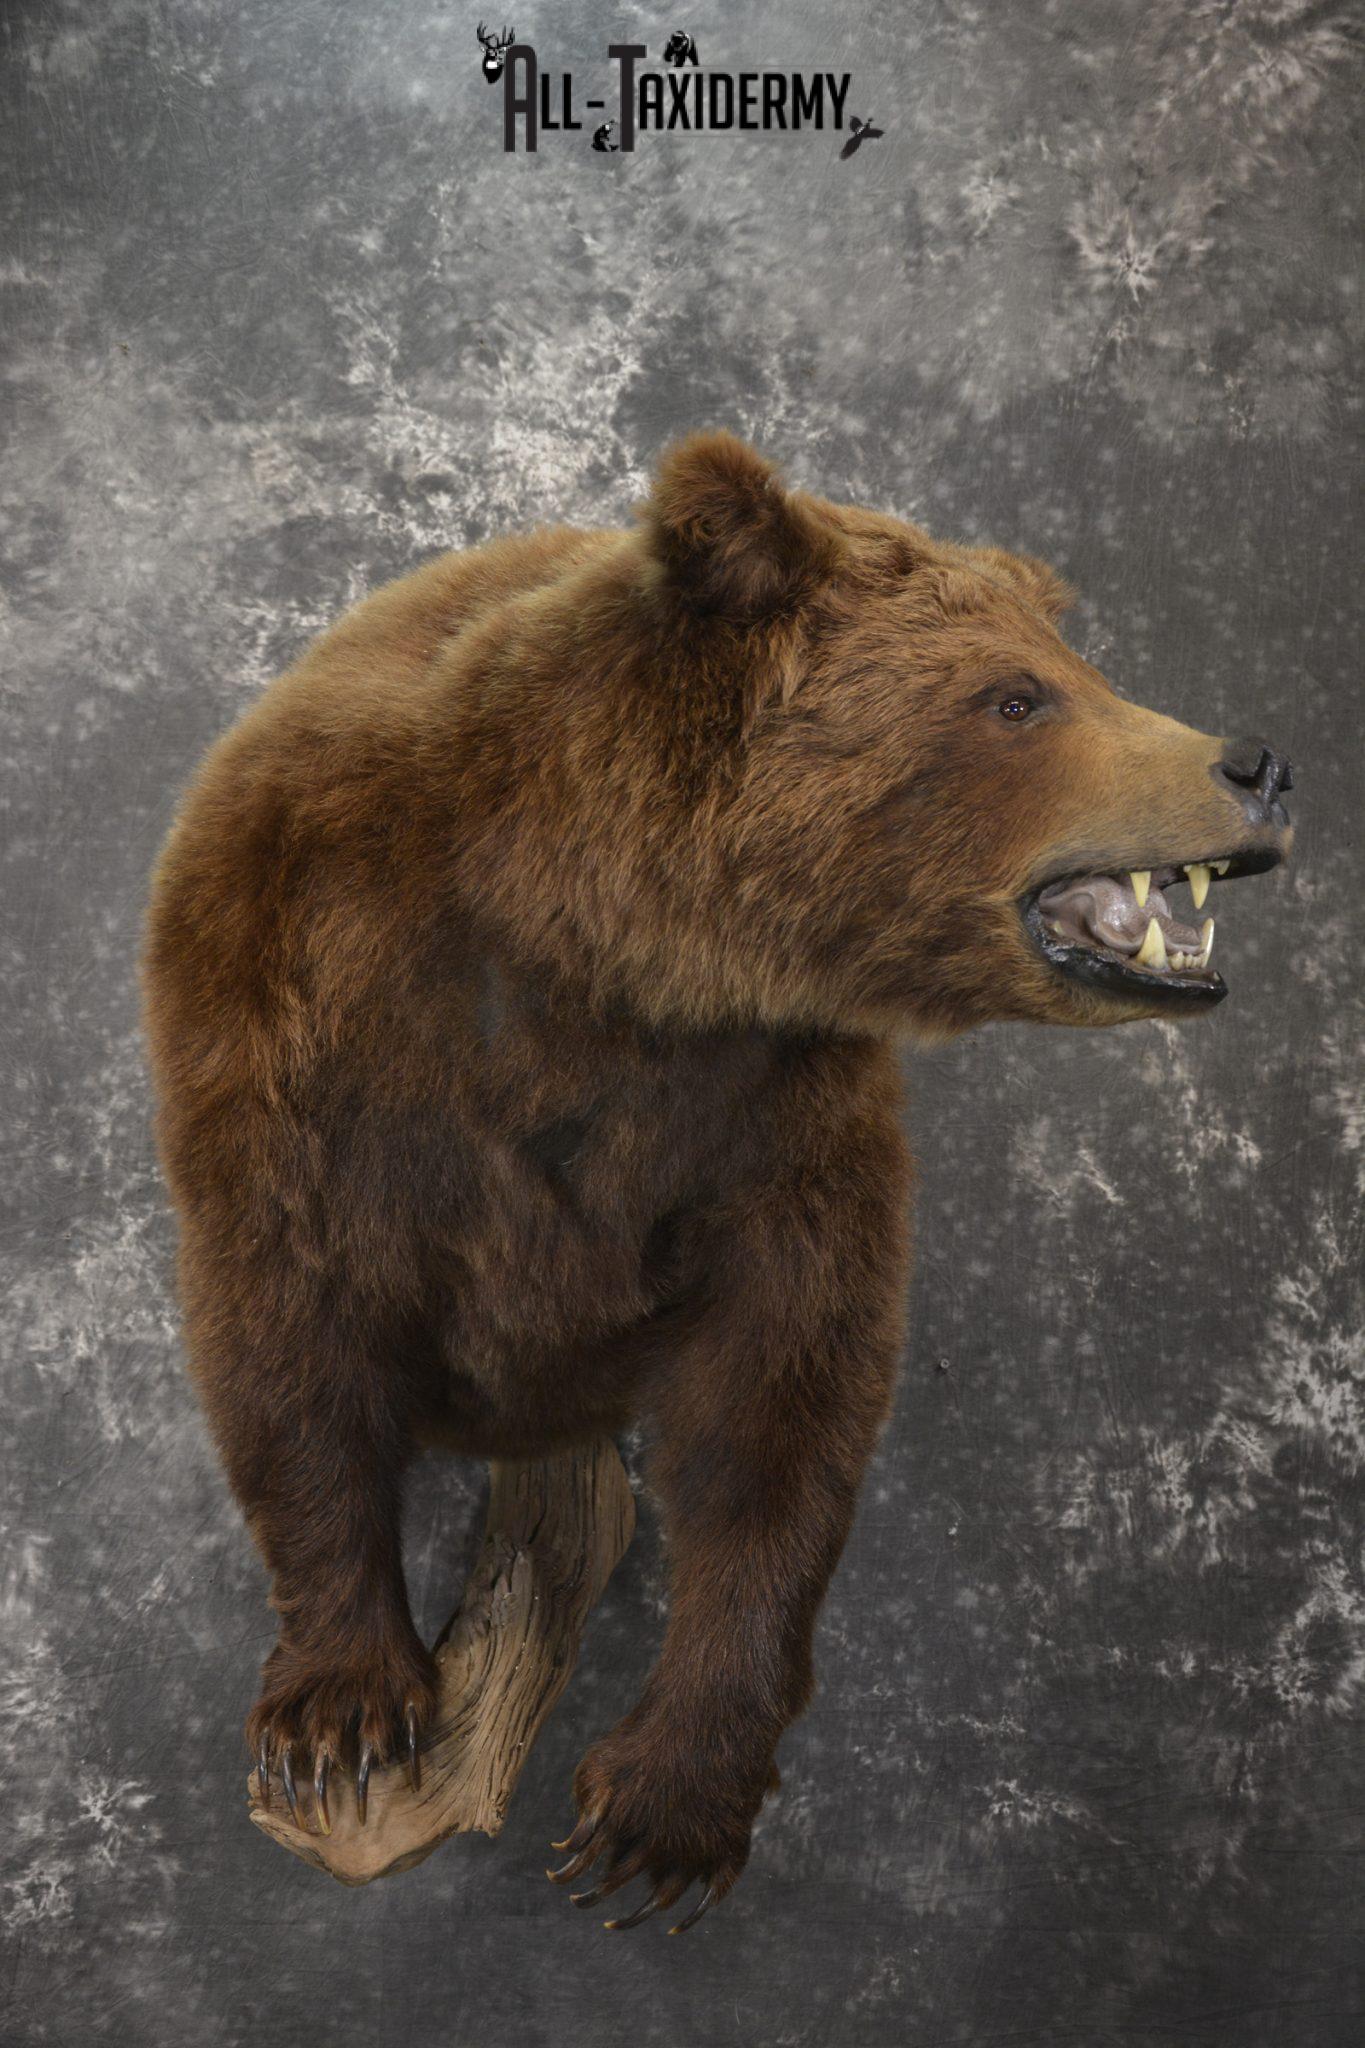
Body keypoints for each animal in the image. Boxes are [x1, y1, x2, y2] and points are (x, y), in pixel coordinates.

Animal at [142, 431, 1293, 1933]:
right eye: (1016, 695)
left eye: (1071, 666)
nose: (1259, 762)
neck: (604, 946)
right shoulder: (313, 1032)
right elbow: (290, 1338)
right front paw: (340, 1712)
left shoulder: (768, 1115)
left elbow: (779, 1401)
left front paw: (659, 1812)